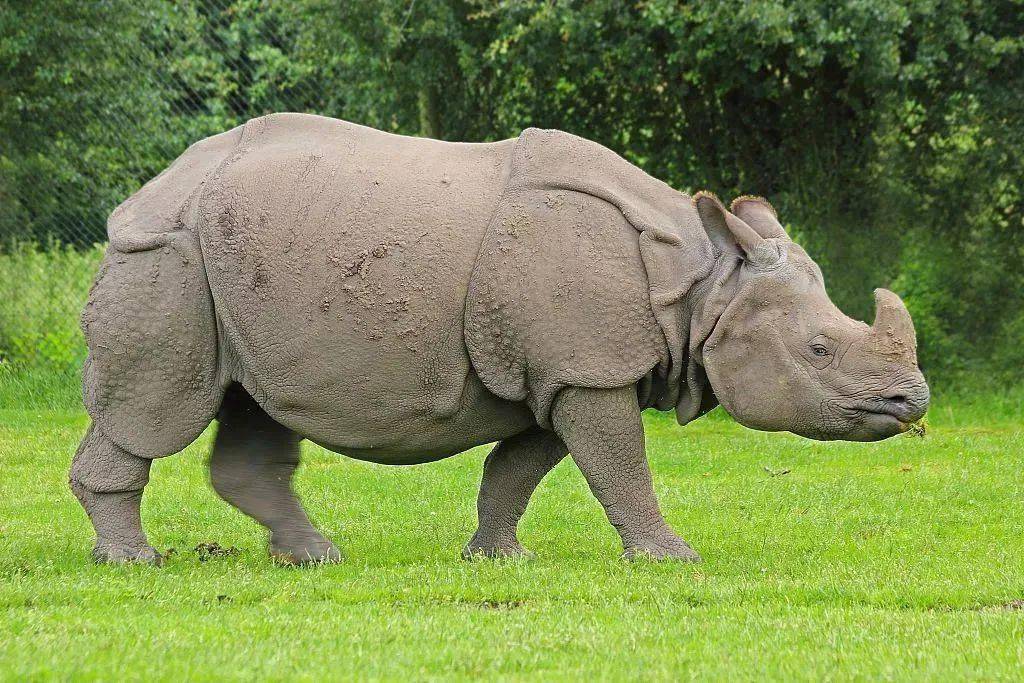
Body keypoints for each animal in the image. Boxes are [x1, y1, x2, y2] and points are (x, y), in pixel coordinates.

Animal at [71, 113, 929, 565]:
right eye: (819, 350)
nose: (913, 400)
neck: (700, 284)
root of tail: (146, 191)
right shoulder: (589, 366)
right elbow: (621, 466)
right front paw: (672, 559)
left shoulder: (562, 371)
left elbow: (520, 467)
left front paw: (496, 557)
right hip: (167, 259)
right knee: (155, 407)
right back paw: (137, 561)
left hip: (235, 267)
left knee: (254, 403)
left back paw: (315, 555)